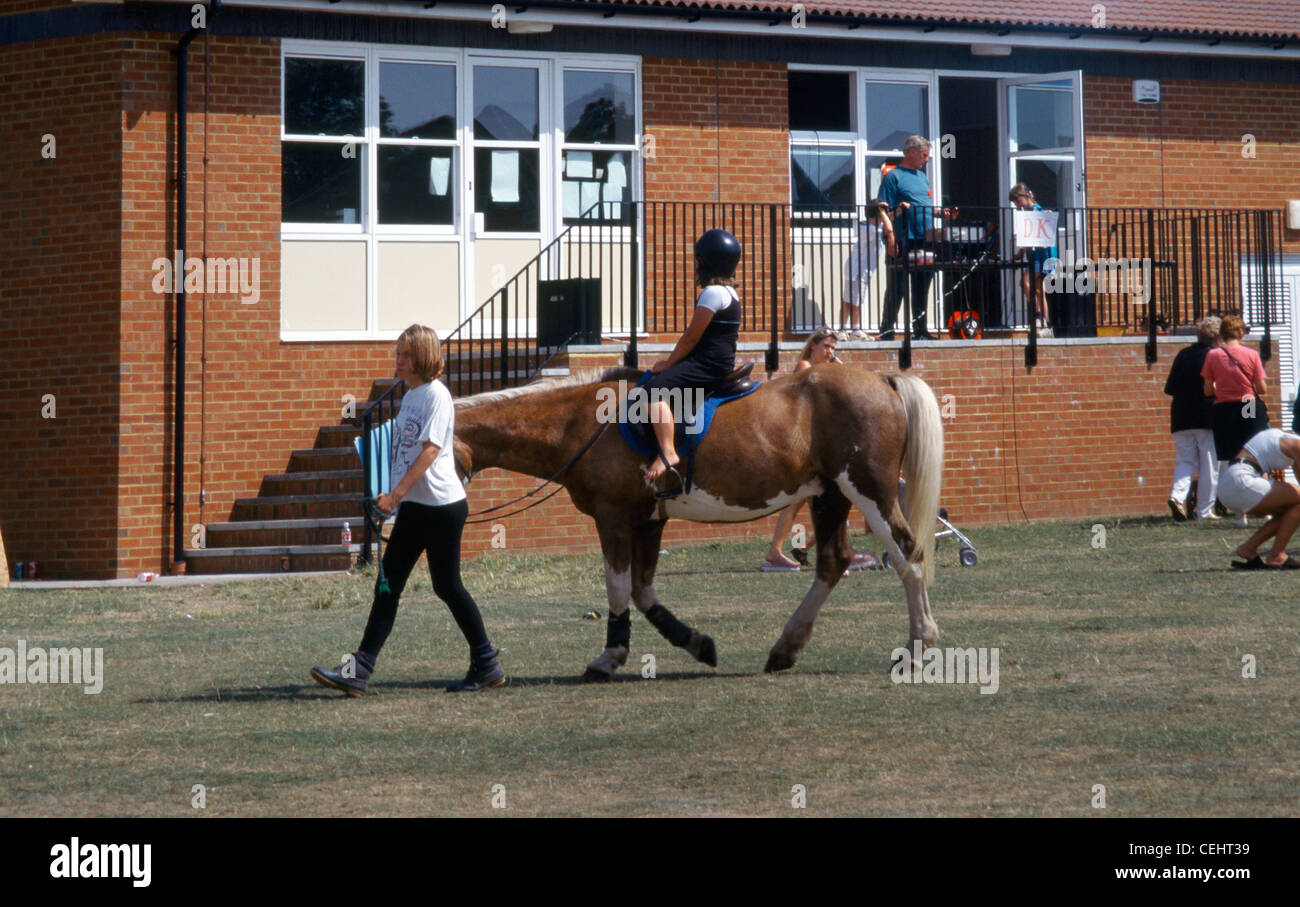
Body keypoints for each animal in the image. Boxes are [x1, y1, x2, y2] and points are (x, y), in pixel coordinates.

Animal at [451, 364, 943, 680]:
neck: (584, 422)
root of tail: (881, 379)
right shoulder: (648, 522)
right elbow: (642, 592)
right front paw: (696, 642)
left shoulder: (614, 519)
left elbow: (619, 588)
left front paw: (609, 657)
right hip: (830, 497)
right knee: (833, 562)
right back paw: (786, 647)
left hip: (869, 491)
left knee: (908, 554)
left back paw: (919, 645)